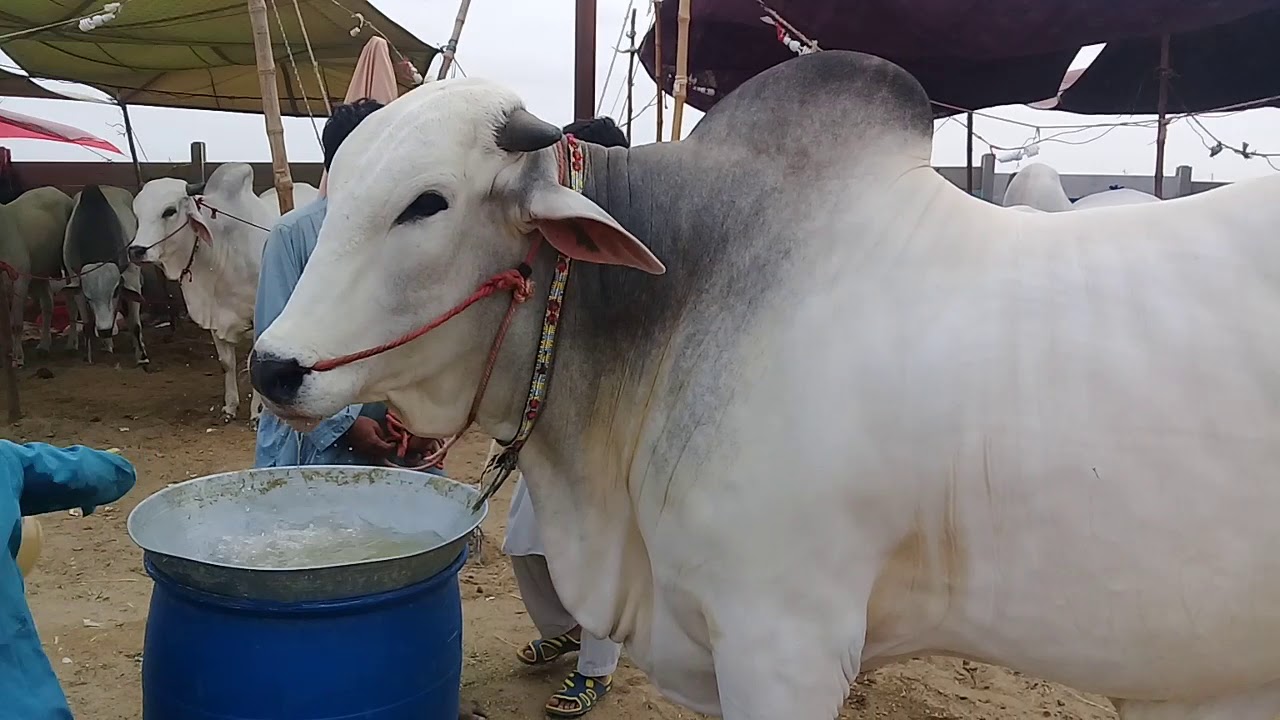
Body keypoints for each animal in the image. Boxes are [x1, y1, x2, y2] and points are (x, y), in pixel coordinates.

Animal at [0, 187, 74, 367]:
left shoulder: (20, 280)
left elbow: (16, 323)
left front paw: (18, 357)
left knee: (71, 304)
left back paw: (71, 344)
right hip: (39, 272)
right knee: (48, 304)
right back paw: (44, 345)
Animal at [62, 185, 148, 368]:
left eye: (115, 292)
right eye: (88, 298)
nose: (105, 330)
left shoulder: (131, 278)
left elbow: (135, 324)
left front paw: (142, 356)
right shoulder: (76, 281)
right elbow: (87, 325)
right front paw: (89, 357)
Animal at [128, 163, 277, 424]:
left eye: (169, 211)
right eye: (138, 212)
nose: (136, 250)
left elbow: (253, 363)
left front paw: (257, 413)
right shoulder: (215, 316)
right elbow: (226, 363)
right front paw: (230, 407)